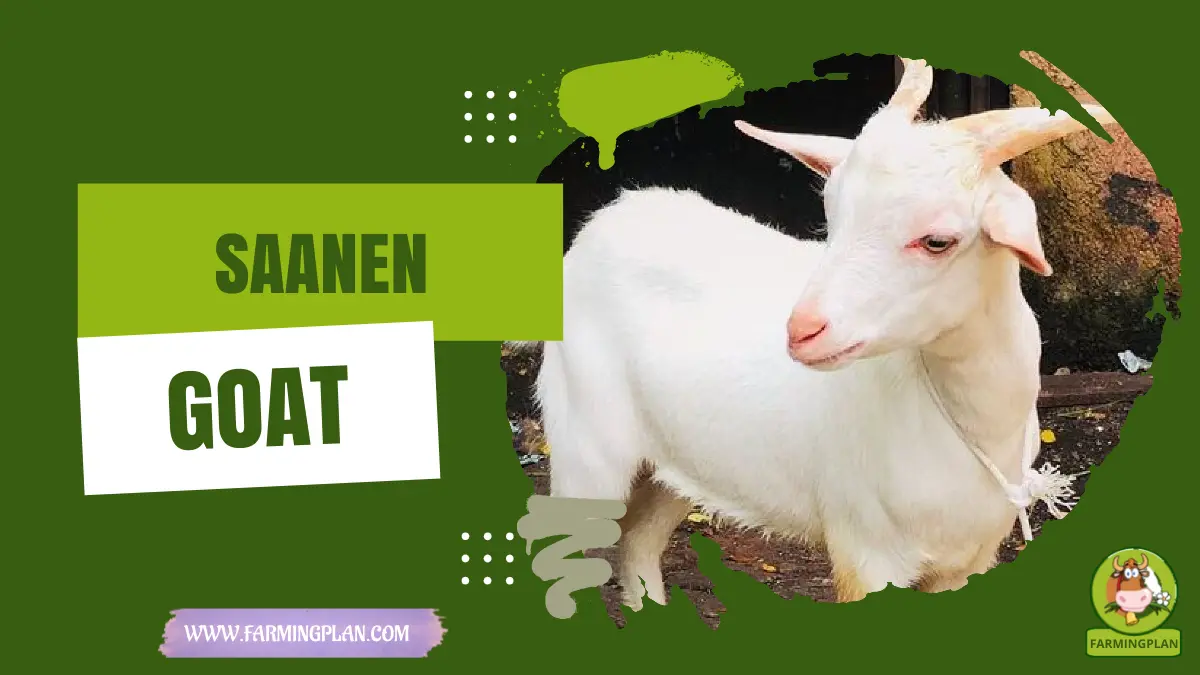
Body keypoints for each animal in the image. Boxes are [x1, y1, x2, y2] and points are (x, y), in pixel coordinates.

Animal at [520, 58, 1118, 610]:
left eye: (938, 241)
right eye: (832, 213)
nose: (803, 330)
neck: (970, 425)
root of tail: (608, 215)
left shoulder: (967, 562)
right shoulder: (866, 552)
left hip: (677, 461)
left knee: (638, 544)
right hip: (586, 445)